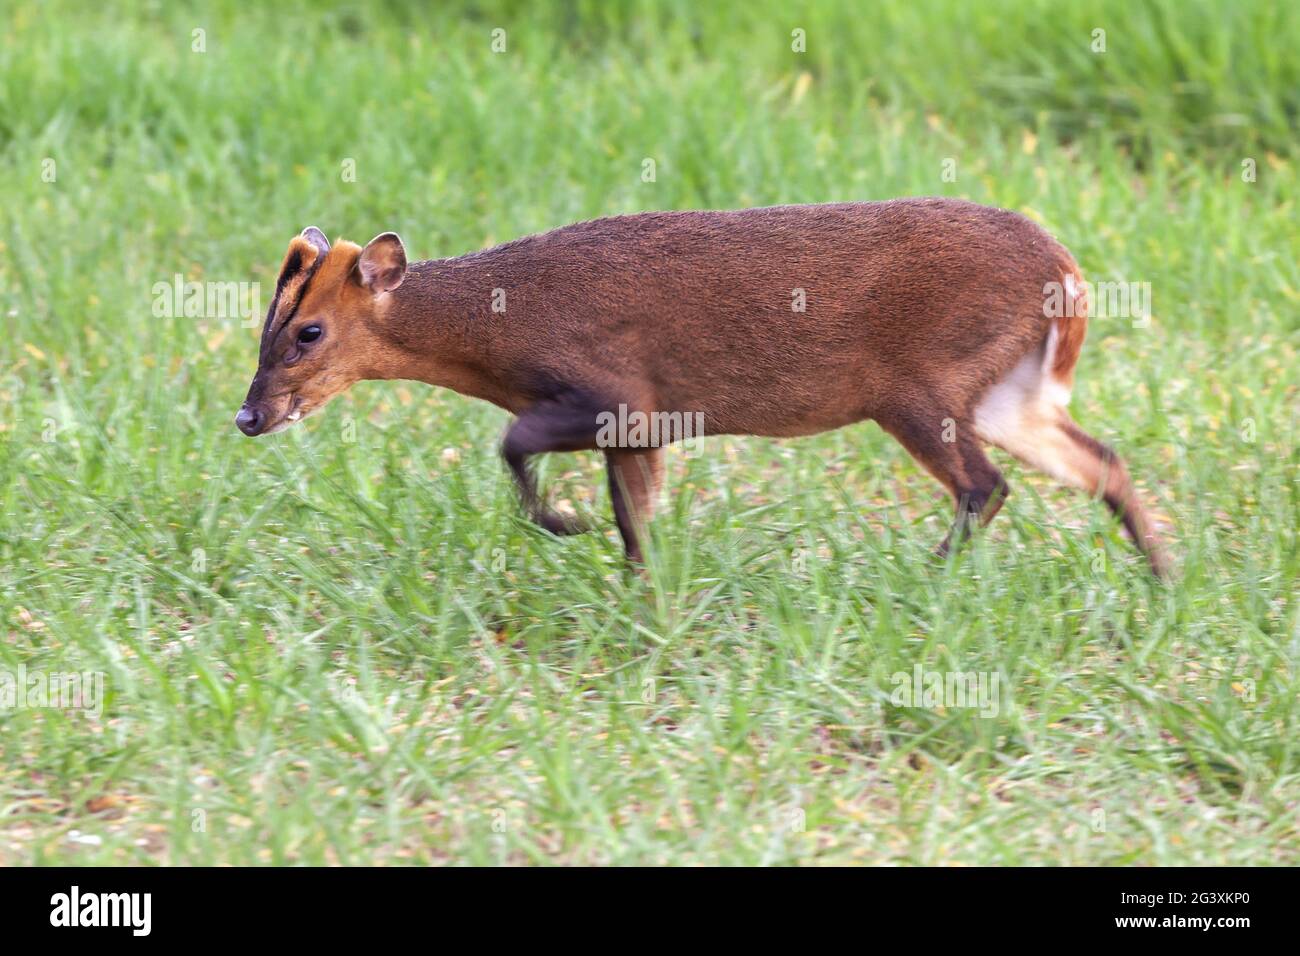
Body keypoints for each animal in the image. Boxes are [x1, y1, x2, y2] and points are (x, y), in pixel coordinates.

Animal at [235, 199, 1170, 578]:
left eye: (308, 332)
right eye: (262, 327)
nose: (248, 414)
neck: (497, 335)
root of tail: (1069, 273)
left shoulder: (617, 394)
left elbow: (515, 443)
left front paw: (562, 524)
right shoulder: (641, 430)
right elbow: (636, 521)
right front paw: (642, 593)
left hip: (920, 386)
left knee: (987, 483)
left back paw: (926, 574)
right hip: (1007, 390)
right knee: (1099, 460)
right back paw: (1165, 577)